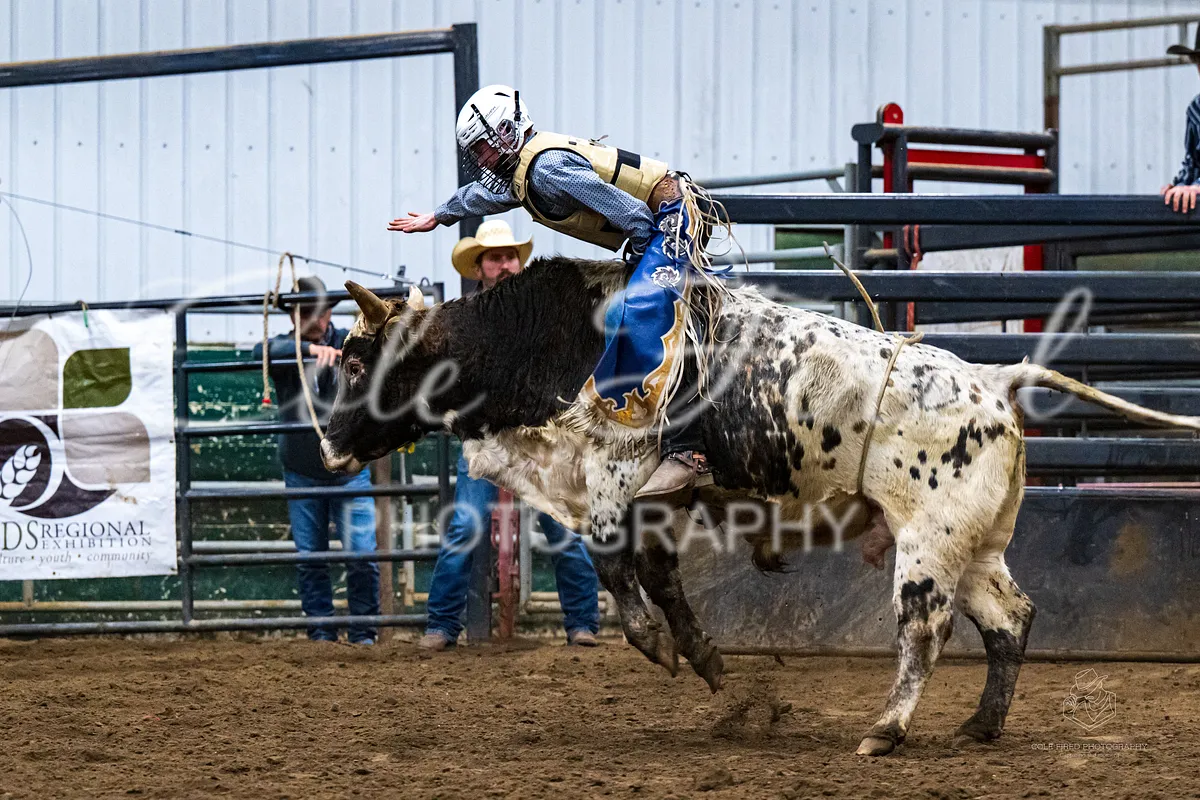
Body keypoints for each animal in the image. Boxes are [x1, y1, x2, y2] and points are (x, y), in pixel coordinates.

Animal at [319, 256, 1200, 756]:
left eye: (360, 359)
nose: (327, 445)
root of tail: (992, 381)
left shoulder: (613, 472)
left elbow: (612, 561)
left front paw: (655, 644)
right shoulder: (656, 498)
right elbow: (658, 574)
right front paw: (704, 658)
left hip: (927, 543)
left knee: (925, 630)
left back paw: (885, 732)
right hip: (975, 546)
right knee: (1010, 620)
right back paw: (979, 728)